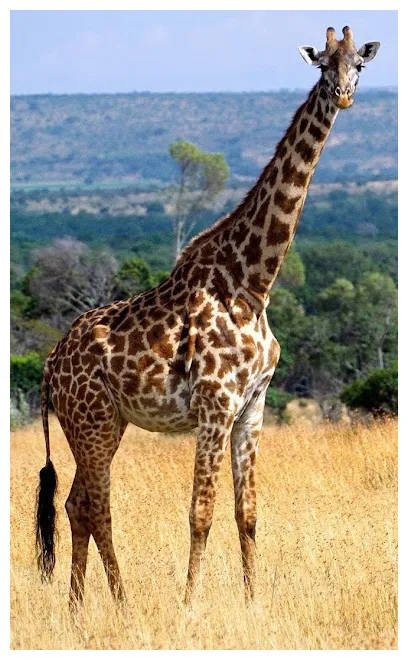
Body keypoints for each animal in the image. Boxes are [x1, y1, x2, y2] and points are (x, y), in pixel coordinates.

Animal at [35, 26, 380, 609]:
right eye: (321, 64)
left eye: (359, 63)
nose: (343, 95)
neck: (254, 284)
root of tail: (49, 366)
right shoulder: (216, 406)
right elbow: (201, 514)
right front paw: (189, 605)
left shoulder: (252, 407)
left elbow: (248, 514)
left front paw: (252, 600)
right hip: (92, 421)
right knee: (97, 506)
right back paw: (122, 604)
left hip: (105, 423)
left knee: (76, 503)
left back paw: (80, 607)